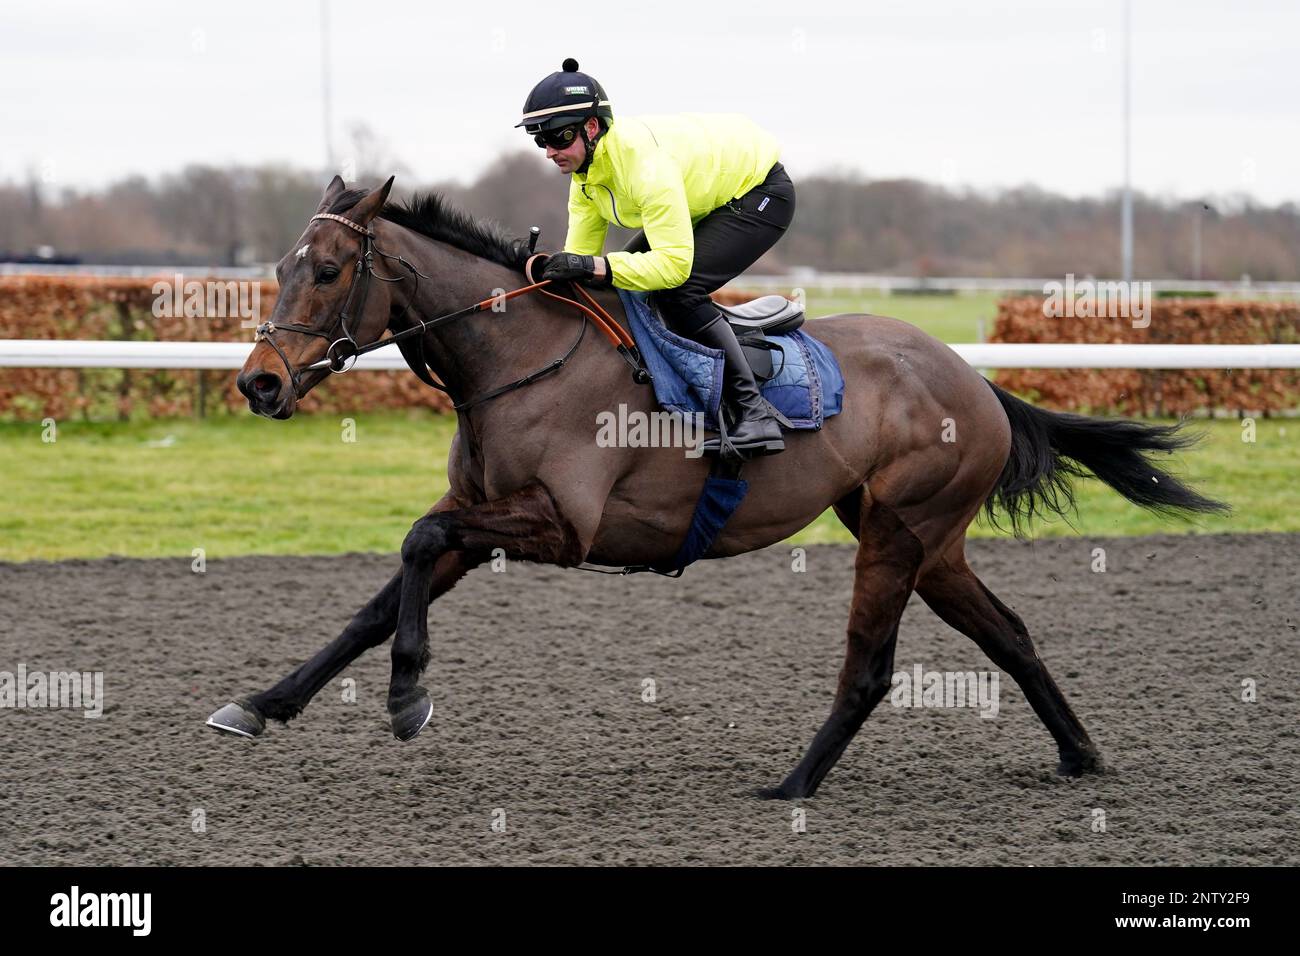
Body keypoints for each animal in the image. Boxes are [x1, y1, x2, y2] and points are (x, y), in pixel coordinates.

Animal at [210, 174, 1227, 800]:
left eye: (328, 270)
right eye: (278, 267)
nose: (257, 383)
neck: (520, 355)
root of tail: (972, 377)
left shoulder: (561, 526)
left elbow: (417, 545)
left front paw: (407, 697)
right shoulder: (480, 517)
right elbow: (381, 598)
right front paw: (262, 704)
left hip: (900, 530)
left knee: (871, 666)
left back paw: (794, 785)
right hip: (928, 541)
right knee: (1009, 634)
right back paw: (1081, 755)